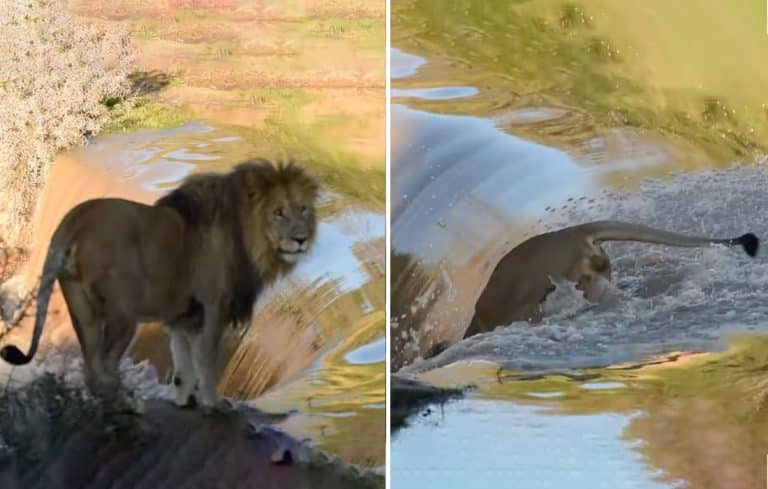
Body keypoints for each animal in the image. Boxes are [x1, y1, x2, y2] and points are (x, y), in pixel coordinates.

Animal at [1, 159, 319, 408]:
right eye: (278, 212)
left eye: (303, 209)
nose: (301, 239)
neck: (250, 240)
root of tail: (76, 216)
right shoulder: (213, 308)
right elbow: (206, 362)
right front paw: (214, 404)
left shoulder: (183, 319)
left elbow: (184, 368)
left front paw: (183, 401)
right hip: (123, 316)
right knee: (102, 368)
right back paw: (124, 405)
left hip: (81, 308)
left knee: (91, 365)